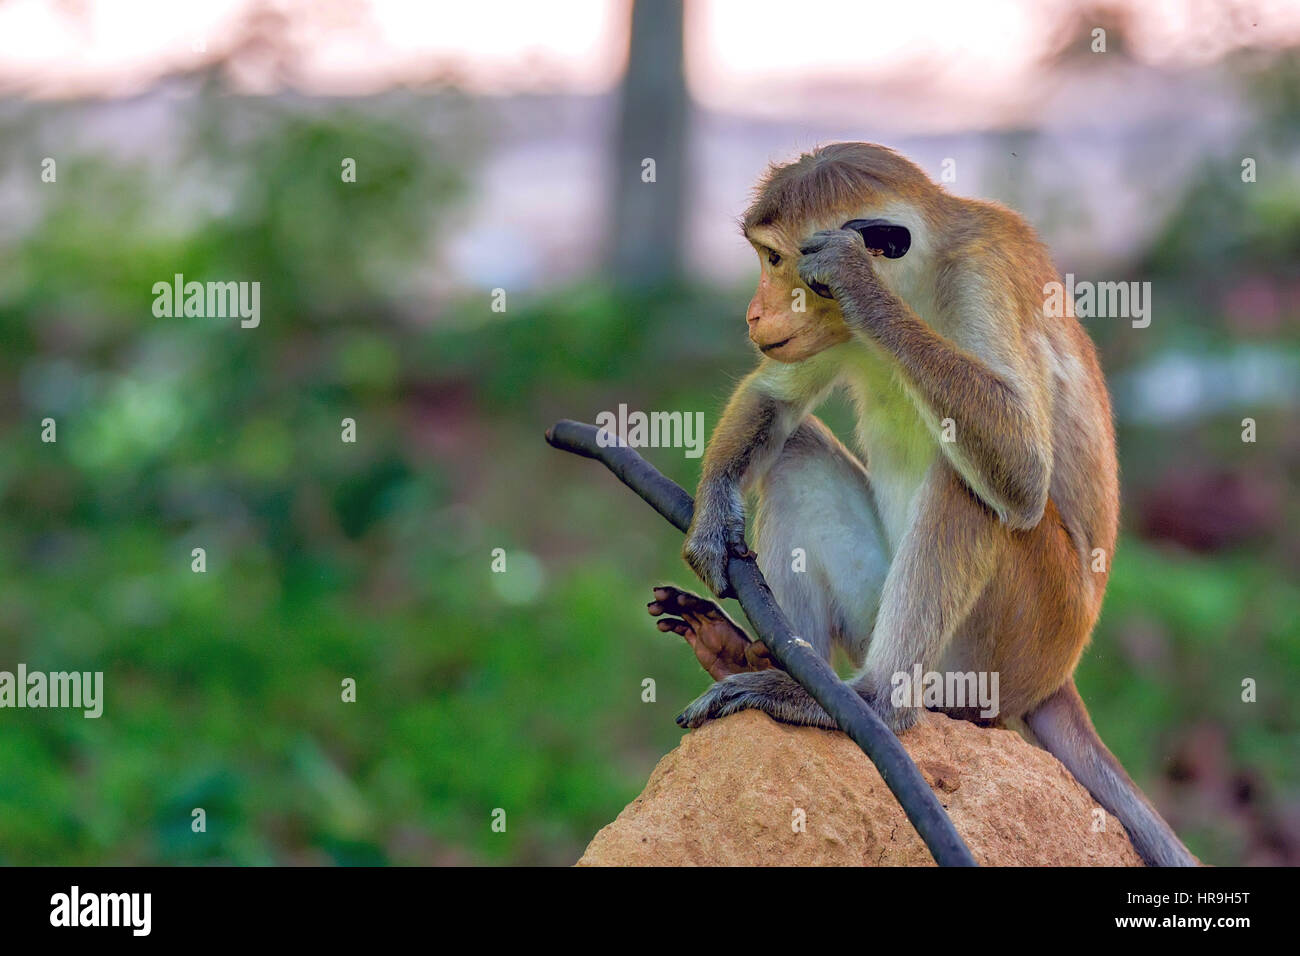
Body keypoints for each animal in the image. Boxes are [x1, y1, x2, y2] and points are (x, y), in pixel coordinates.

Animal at [646, 143, 1196, 867]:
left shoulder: (982, 275)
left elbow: (1023, 474)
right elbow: (775, 397)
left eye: (774, 259)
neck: (924, 281)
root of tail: (1059, 677)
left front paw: (858, 282)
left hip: (1016, 643)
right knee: (797, 453)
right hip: (880, 611)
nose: (753, 315)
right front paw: (713, 520)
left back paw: (877, 704)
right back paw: (759, 659)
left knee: (968, 485)